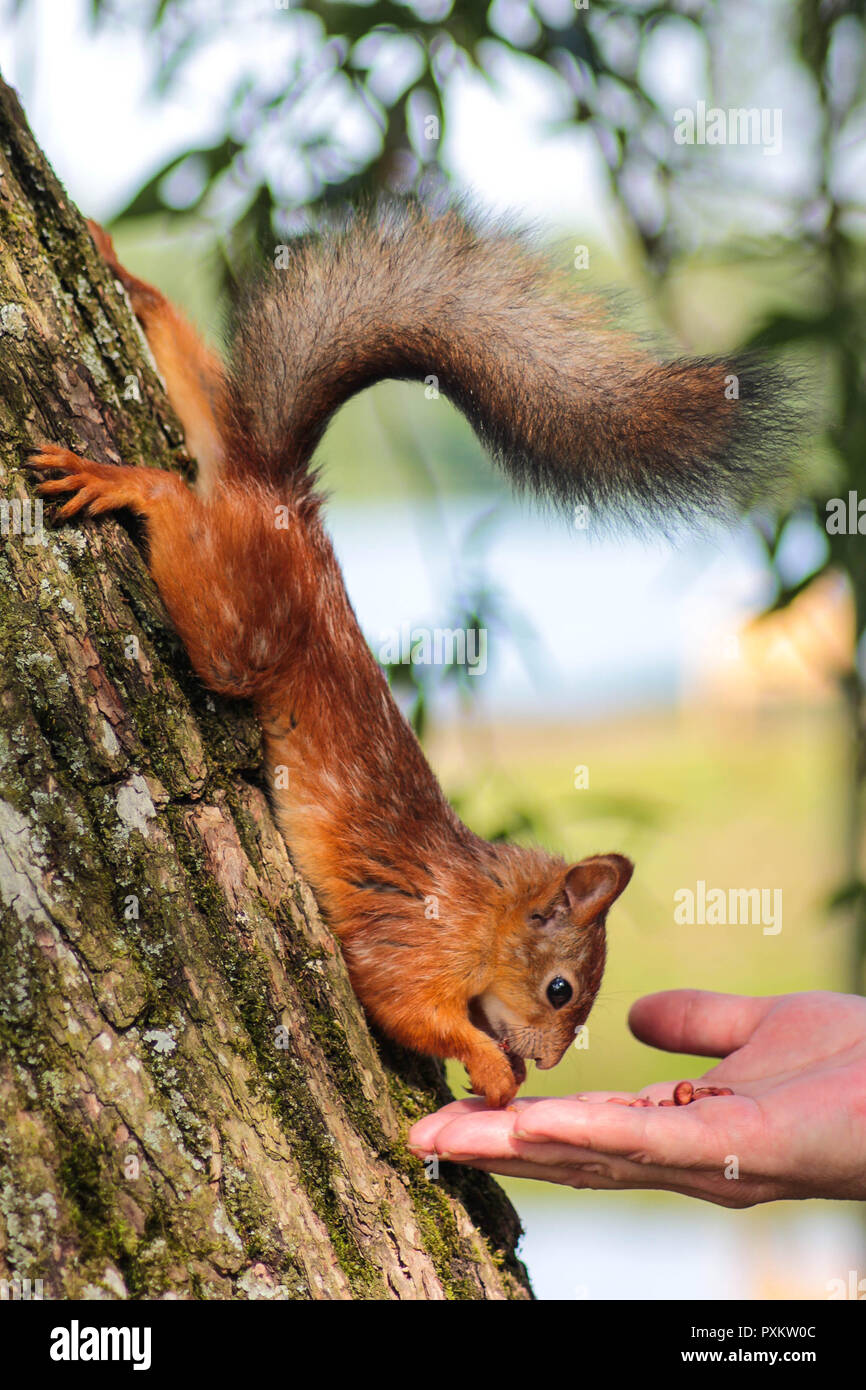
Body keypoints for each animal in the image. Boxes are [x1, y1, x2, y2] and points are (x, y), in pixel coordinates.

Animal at [26, 203, 791, 1108]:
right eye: (560, 990)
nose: (548, 1063)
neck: (484, 912)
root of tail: (281, 498)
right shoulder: (416, 944)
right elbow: (404, 1005)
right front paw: (493, 1071)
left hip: (225, 471)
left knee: (205, 392)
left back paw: (127, 278)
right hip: (238, 623)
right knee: (177, 503)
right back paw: (124, 481)